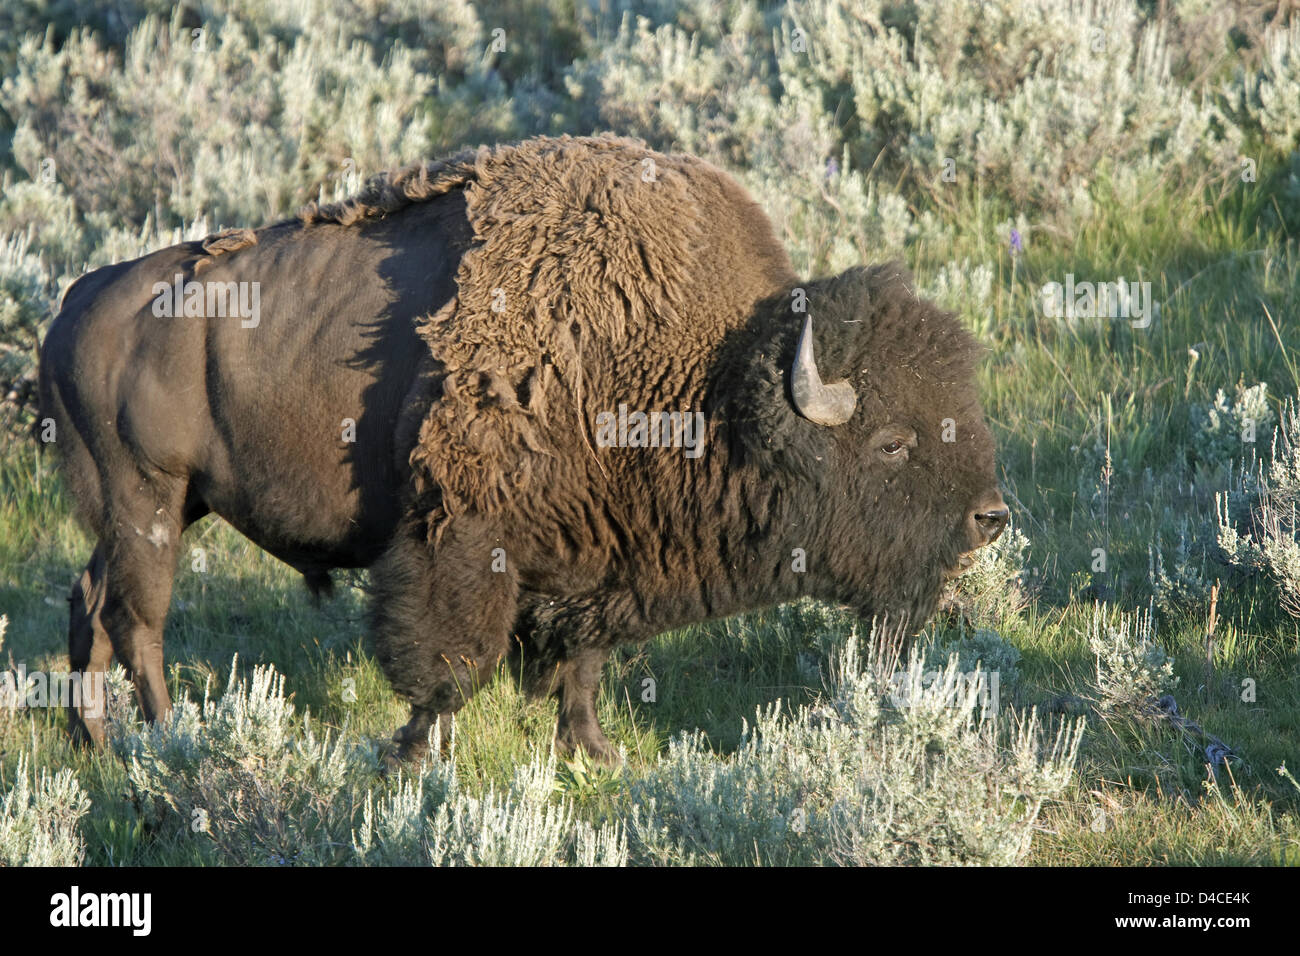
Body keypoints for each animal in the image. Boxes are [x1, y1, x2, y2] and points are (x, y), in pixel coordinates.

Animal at [38, 135, 1007, 763]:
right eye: (892, 442)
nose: (990, 518)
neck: (697, 375)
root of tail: (75, 302)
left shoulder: (601, 556)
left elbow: (582, 663)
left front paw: (594, 753)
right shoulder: (462, 543)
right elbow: (448, 665)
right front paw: (417, 758)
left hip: (158, 508)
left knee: (89, 597)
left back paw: (94, 740)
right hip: (149, 499)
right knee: (140, 619)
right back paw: (169, 740)